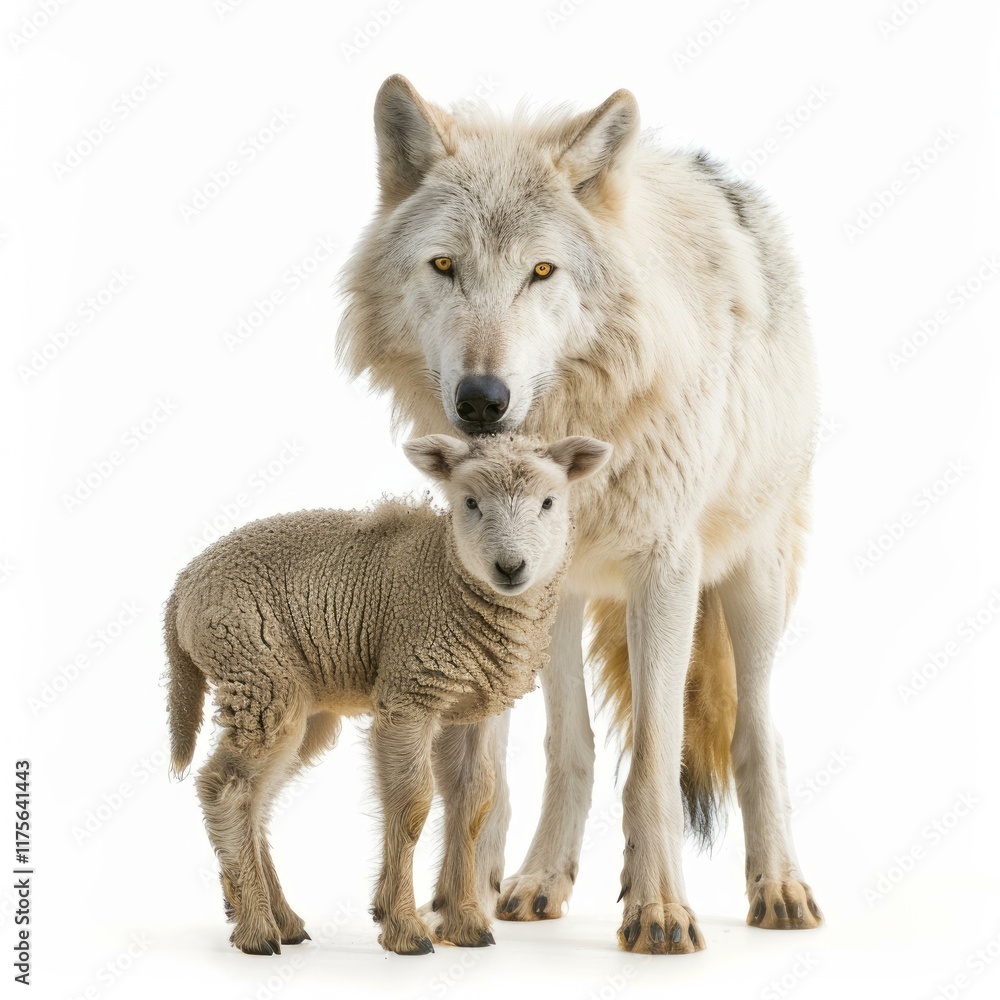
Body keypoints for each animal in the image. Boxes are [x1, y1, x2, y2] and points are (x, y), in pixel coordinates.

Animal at [164, 431, 612, 957]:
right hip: (257, 674)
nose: (510, 567)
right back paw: (256, 928)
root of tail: (183, 587)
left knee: (256, 798)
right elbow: (412, 804)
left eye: (548, 502)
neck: (446, 573)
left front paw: (464, 922)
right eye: (470, 502)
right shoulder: (409, 693)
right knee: (226, 787)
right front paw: (403, 927)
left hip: (291, 702)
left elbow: (473, 802)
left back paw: (277, 918)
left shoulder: (468, 708)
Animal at [336, 75, 823, 954]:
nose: (481, 398)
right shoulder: (497, 583)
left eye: (541, 270)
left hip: (754, 583)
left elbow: (657, 761)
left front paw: (659, 910)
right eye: (445, 266)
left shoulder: (667, 570)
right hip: (559, 604)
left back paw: (779, 888)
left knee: (756, 735)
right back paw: (534, 882)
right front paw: (461, 902)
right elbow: (494, 765)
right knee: (573, 745)